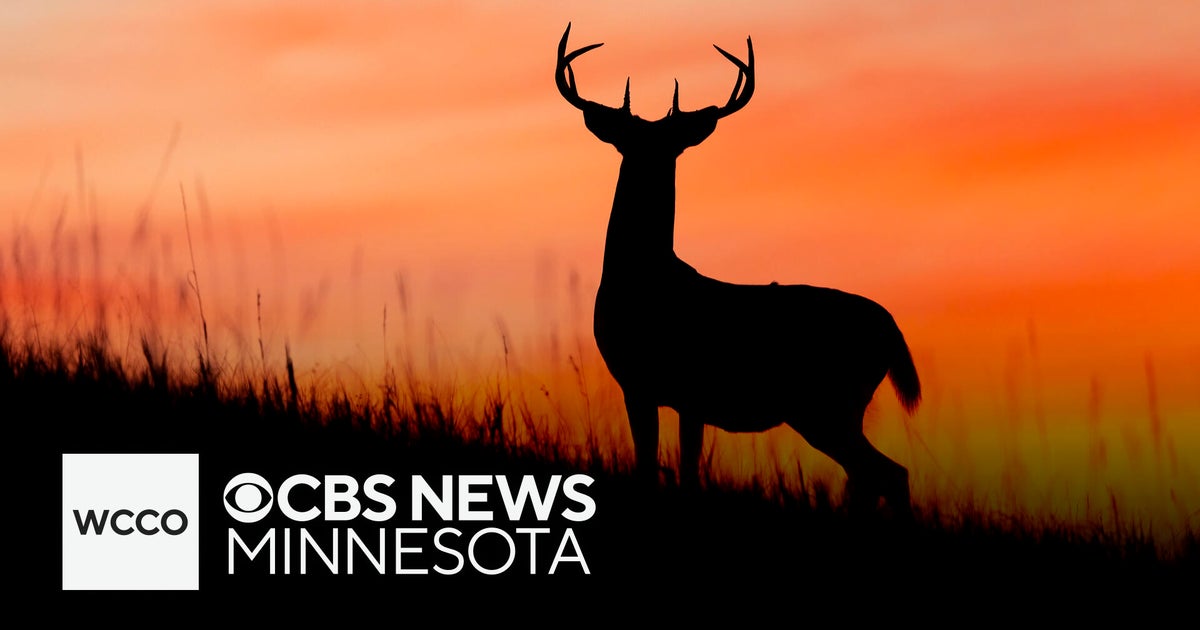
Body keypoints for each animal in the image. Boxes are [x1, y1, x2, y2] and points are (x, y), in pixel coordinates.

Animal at [555, 24, 921, 517]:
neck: (643, 278)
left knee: (886, 473)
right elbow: (665, 468)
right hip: (834, 407)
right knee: (875, 475)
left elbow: (672, 471)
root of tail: (891, 328)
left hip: (827, 402)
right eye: (628, 141)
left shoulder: (667, 386)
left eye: (669, 144)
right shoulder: (656, 390)